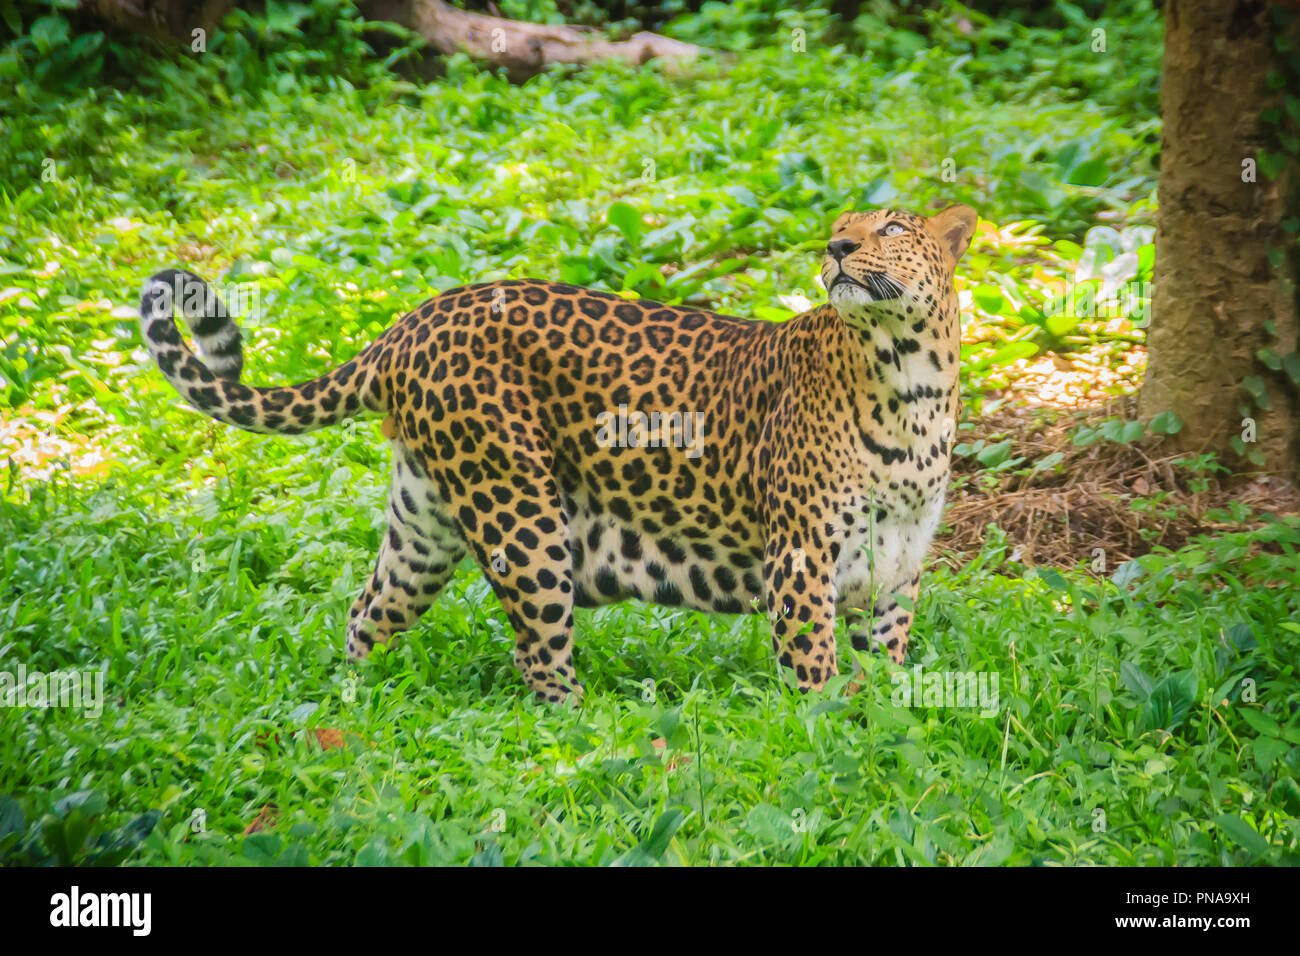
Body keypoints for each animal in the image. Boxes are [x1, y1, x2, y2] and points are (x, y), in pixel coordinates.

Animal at [138, 203, 977, 703]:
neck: (910, 381)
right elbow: (814, 671)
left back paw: (354, 701)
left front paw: (890, 715)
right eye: (841, 224)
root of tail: (410, 321)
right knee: (538, 653)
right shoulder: (802, 559)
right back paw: (587, 735)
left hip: (423, 524)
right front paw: (828, 728)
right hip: (519, 509)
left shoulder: (899, 562)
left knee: (366, 610)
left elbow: (885, 660)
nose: (836, 248)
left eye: (892, 229)